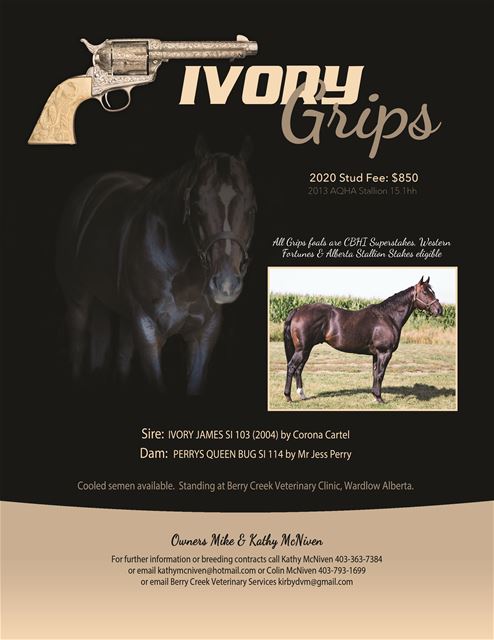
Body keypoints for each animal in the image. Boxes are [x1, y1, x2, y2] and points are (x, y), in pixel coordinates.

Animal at [56, 135, 256, 394]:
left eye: (251, 209)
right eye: (197, 206)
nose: (226, 285)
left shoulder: (204, 333)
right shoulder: (148, 331)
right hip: (78, 300)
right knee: (78, 346)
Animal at [283, 277, 443, 403]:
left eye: (433, 291)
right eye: (425, 292)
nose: (439, 310)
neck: (388, 317)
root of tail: (298, 310)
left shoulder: (376, 355)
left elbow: (375, 374)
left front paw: (375, 396)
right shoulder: (385, 353)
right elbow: (380, 374)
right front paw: (380, 399)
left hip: (306, 349)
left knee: (299, 369)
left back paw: (302, 395)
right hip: (303, 349)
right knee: (291, 367)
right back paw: (288, 397)